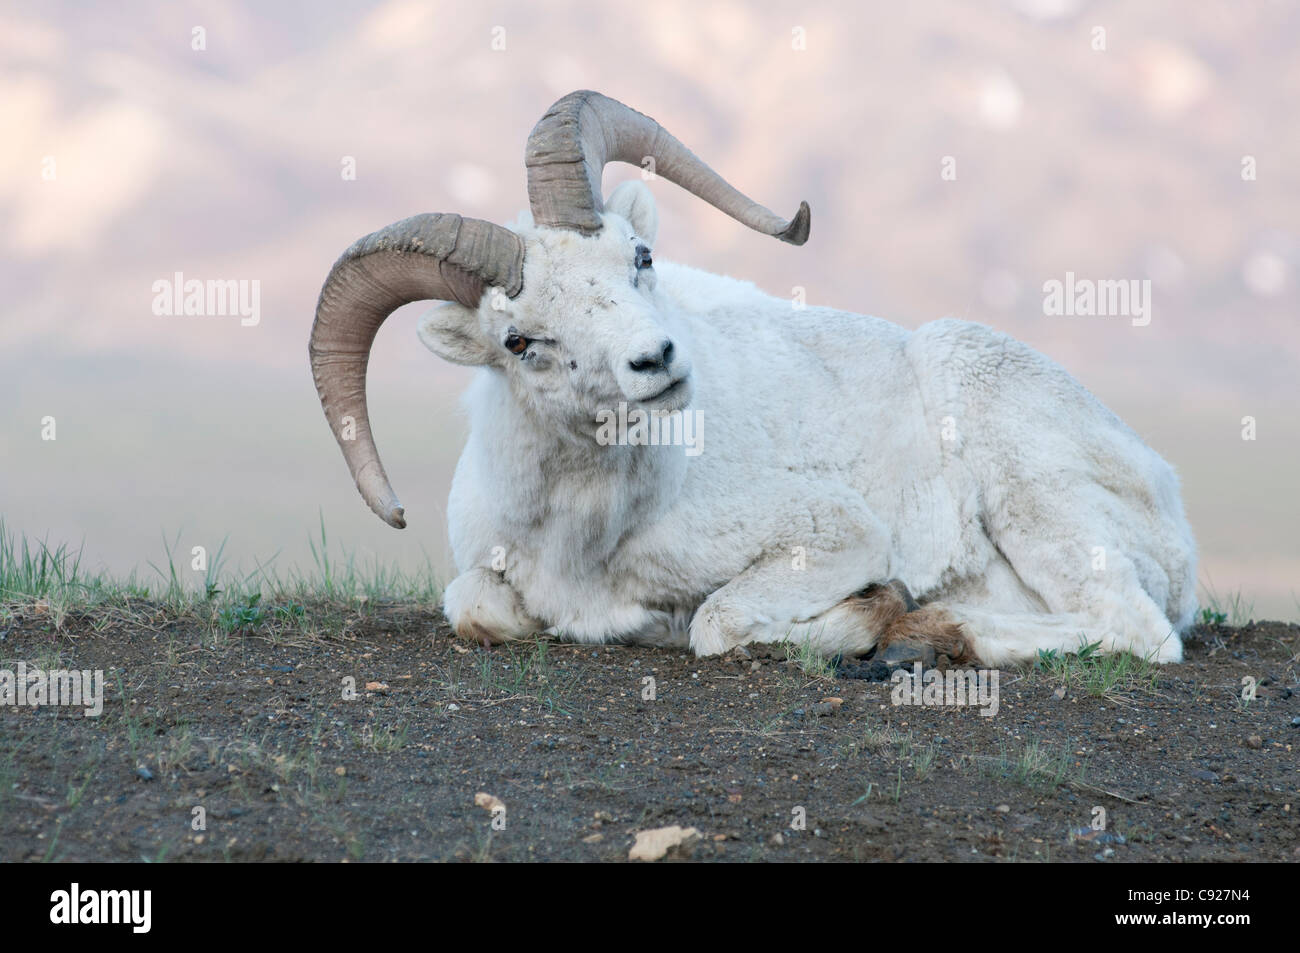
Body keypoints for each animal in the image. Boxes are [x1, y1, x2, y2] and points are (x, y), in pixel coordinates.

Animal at [309, 90, 1198, 667]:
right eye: (520, 339)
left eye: (639, 256)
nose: (657, 360)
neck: (595, 535)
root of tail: (1167, 499)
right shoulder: (487, 581)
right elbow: (476, 611)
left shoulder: (834, 533)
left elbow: (717, 621)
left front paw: (872, 612)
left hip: (1032, 492)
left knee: (1137, 631)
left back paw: (928, 632)